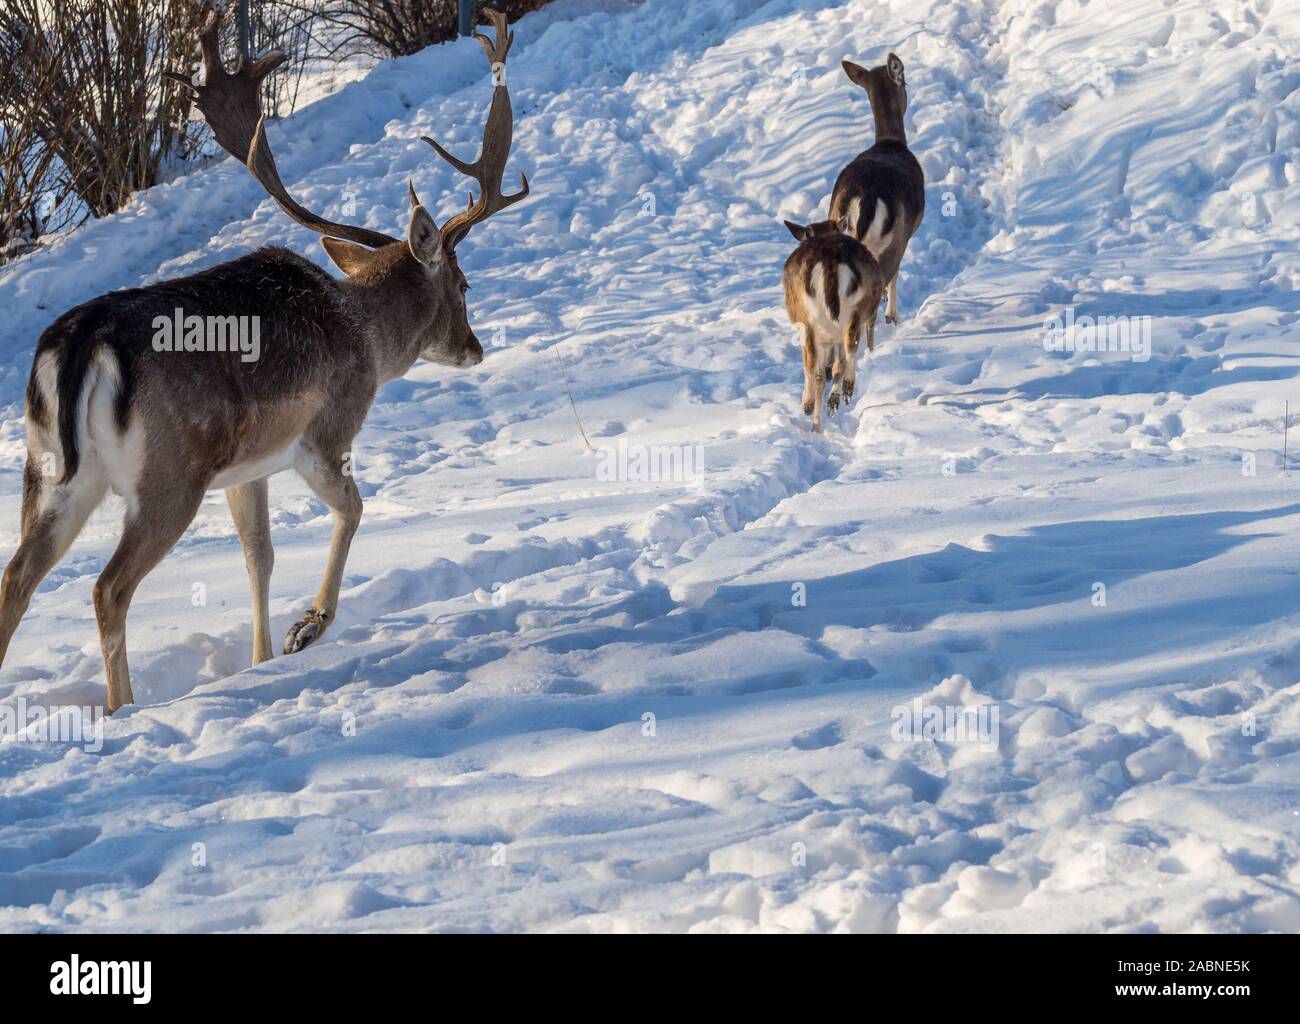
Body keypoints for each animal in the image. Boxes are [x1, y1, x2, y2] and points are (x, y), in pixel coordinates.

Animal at [0, 6, 531, 714]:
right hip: (167, 475)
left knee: (15, 577)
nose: (476, 348)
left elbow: (260, 554)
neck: (367, 335)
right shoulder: (326, 428)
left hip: (50, 475)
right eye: (465, 285)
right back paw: (122, 707)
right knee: (107, 587)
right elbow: (353, 508)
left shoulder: (245, 470)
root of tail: (80, 344)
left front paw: (258, 660)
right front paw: (307, 628)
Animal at [782, 218, 883, 433]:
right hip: (856, 310)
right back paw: (840, 396)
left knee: (814, 366)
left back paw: (818, 411)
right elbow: (837, 363)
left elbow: (812, 367)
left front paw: (808, 406)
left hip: (808, 320)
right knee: (850, 346)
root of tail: (830, 262)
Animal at [830, 53, 924, 328]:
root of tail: (864, 199)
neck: (890, 142)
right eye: (905, 83)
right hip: (893, 238)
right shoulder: (906, 236)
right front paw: (891, 314)